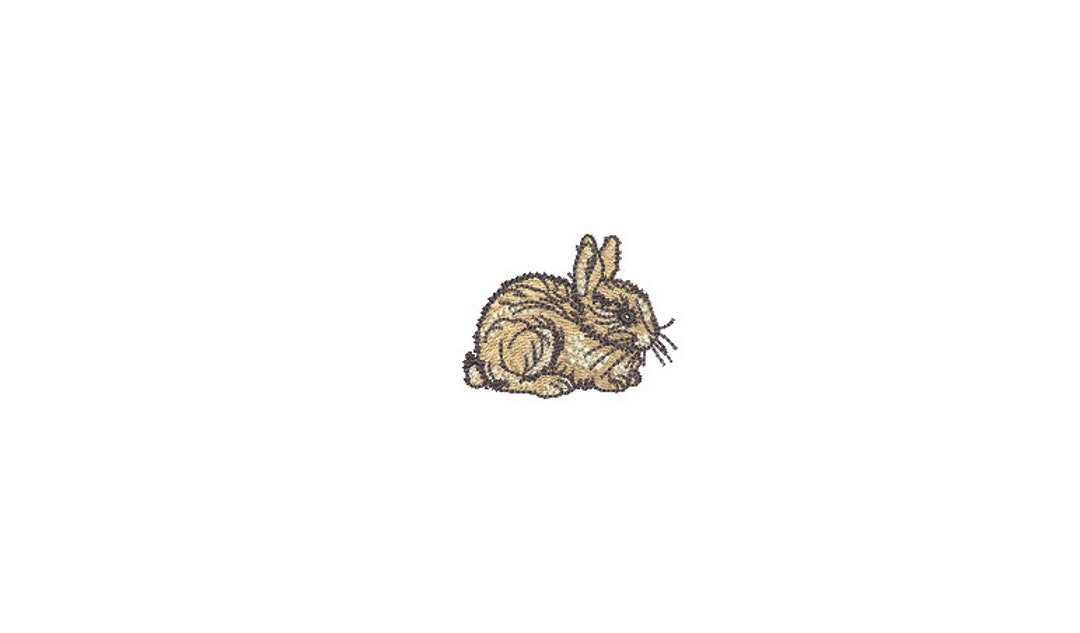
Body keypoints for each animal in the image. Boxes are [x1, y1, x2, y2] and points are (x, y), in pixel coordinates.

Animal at [463, 234, 676, 398]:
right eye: (626, 316)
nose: (652, 336)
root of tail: (483, 357)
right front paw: (617, 383)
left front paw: (632, 378)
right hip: (537, 338)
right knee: (510, 380)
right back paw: (554, 384)